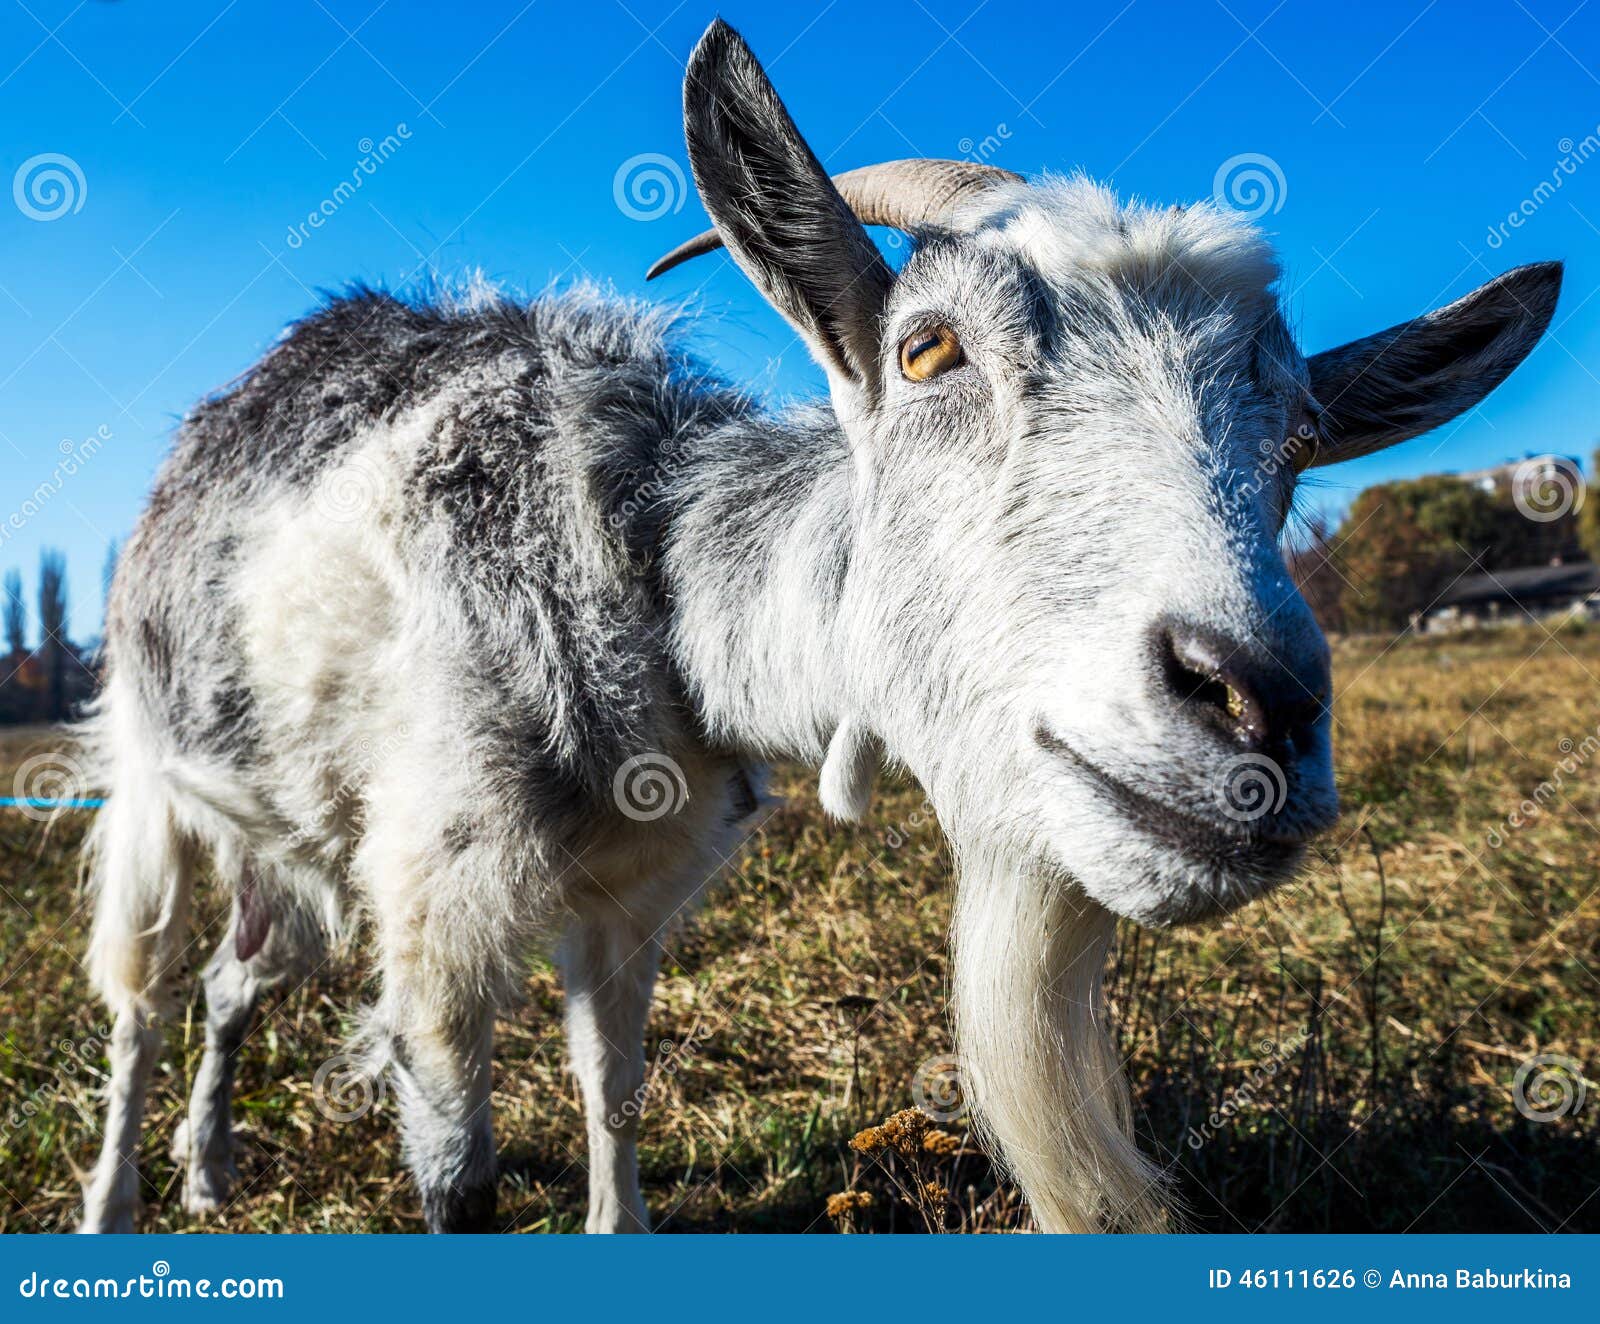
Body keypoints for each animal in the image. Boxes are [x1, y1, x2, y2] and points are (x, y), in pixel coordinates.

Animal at [76, 19, 1559, 1234]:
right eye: (927, 348)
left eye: (1302, 437)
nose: (1255, 706)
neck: (640, 583)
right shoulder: (437, 913)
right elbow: (462, 1188)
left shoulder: (636, 895)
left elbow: (613, 1089)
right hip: (155, 778)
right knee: (143, 997)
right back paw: (115, 1207)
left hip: (293, 835)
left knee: (230, 981)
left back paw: (207, 1175)